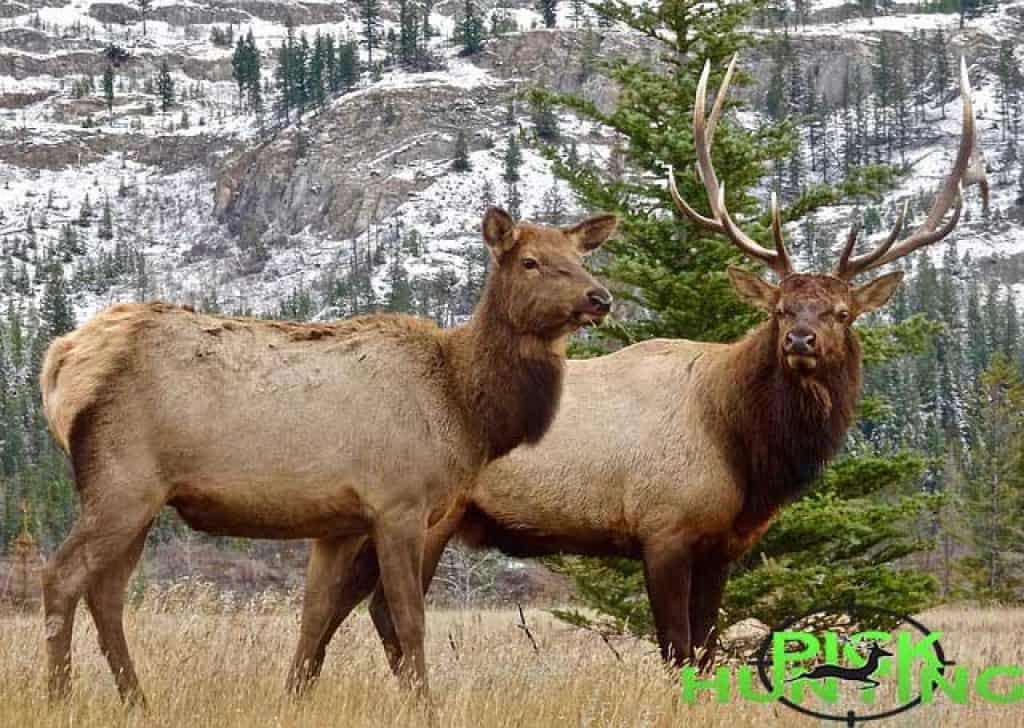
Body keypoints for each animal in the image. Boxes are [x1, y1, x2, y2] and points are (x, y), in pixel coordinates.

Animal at [37, 207, 617, 704]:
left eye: (580, 256)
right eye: (530, 261)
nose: (600, 297)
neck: (463, 405)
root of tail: (61, 358)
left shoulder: (338, 522)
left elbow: (315, 618)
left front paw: (292, 699)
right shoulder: (400, 503)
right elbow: (408, 618)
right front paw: (424, 706)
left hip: (140, 498)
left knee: (106, 592)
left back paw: (137, 700)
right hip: (122, 480)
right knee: (62, 576)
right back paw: (60, 697)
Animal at [300, 56, 986, 679]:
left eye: (843, 312)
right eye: (779, 307)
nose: (800, 339)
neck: (743, 448)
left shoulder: (722, 547)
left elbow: (705, 651)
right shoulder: (664, 528)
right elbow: (676, 651)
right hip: (425, 511)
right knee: (377, 610)